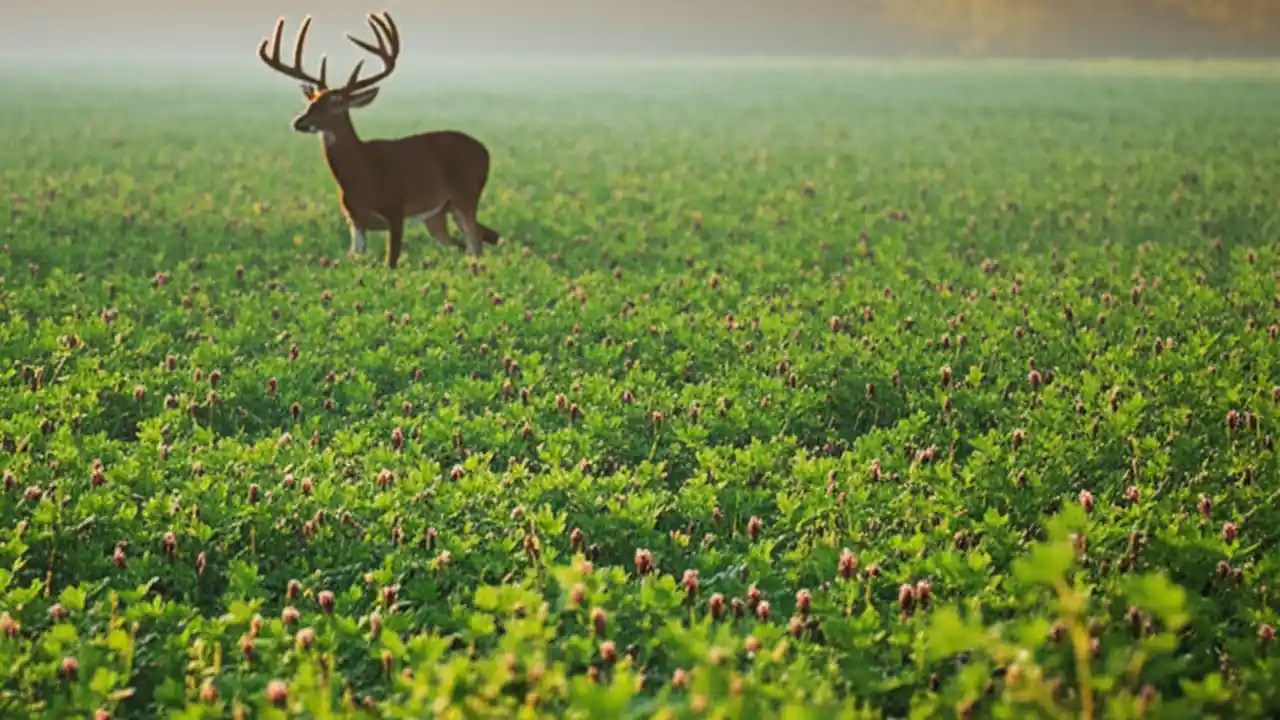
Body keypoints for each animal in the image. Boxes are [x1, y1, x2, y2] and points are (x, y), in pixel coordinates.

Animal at [257, 11, 501, 267]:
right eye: (312, 100)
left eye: (337, 103)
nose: (299, 122)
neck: (363, 175)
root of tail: (483, 149)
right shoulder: (355, 221)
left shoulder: (396, 210)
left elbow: (390, 262)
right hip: (436, 215)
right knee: (469, 243)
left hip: (466, 196)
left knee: (476, 243)